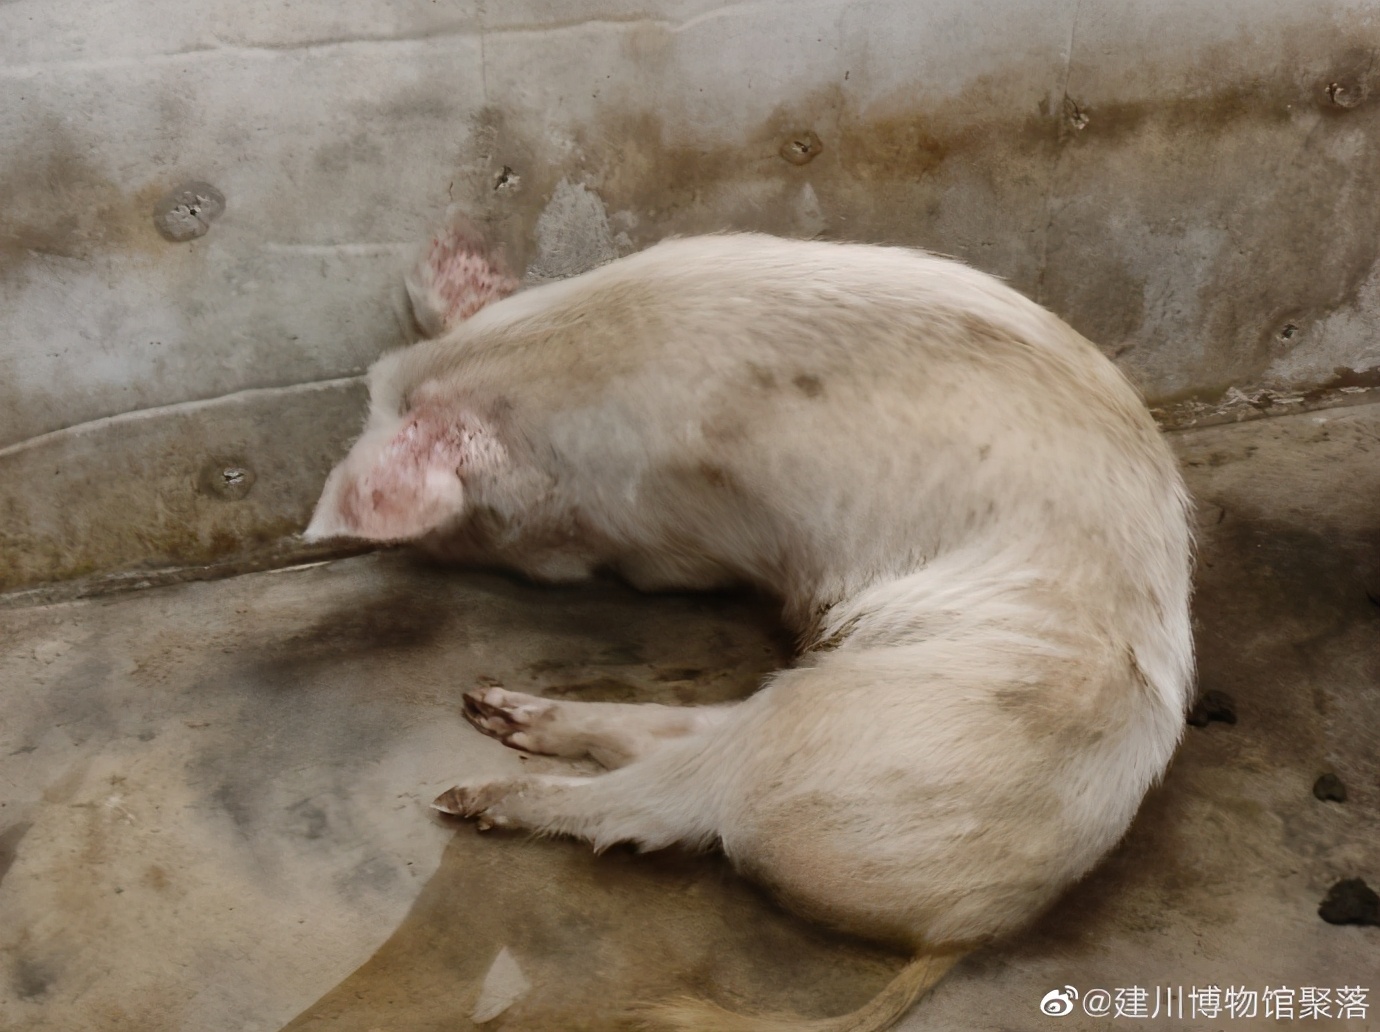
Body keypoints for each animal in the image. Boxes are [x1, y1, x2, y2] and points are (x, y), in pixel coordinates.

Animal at [305, 225, 1194, 1032]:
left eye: (468, 515)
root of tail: (976, 923)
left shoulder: (668, 531)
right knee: (683, 738)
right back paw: (494, 710)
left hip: (845, 733)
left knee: (661, 807)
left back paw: (468, 795)